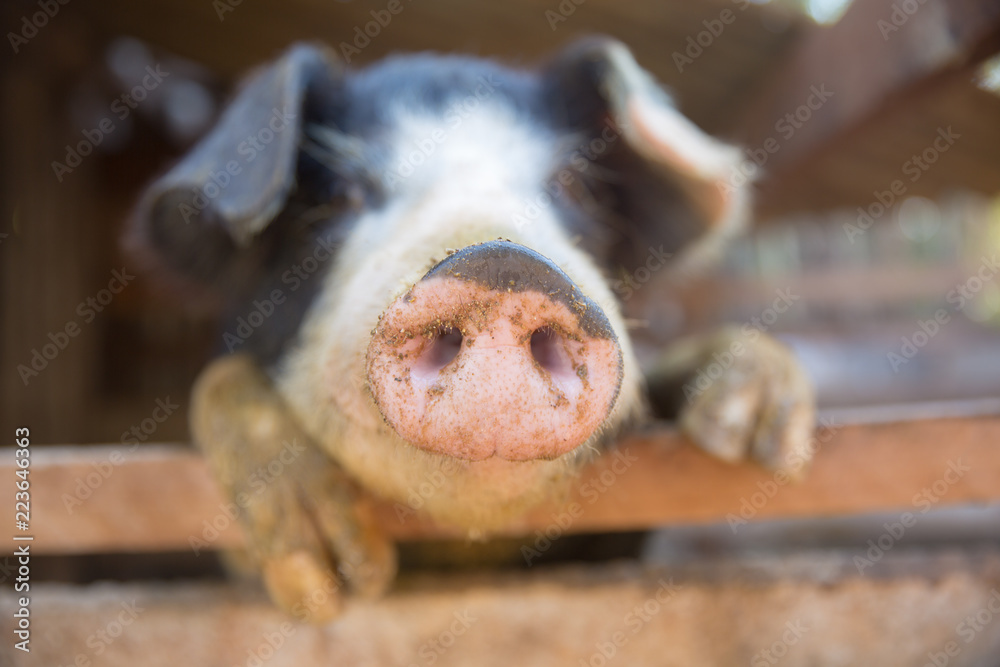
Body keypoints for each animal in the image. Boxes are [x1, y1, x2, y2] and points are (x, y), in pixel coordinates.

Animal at [130, 37, 815, 621]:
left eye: (573, 186)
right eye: (340, 194)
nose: (502, 263)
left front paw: (754, 426)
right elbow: (218, 382)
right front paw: (328, 578)